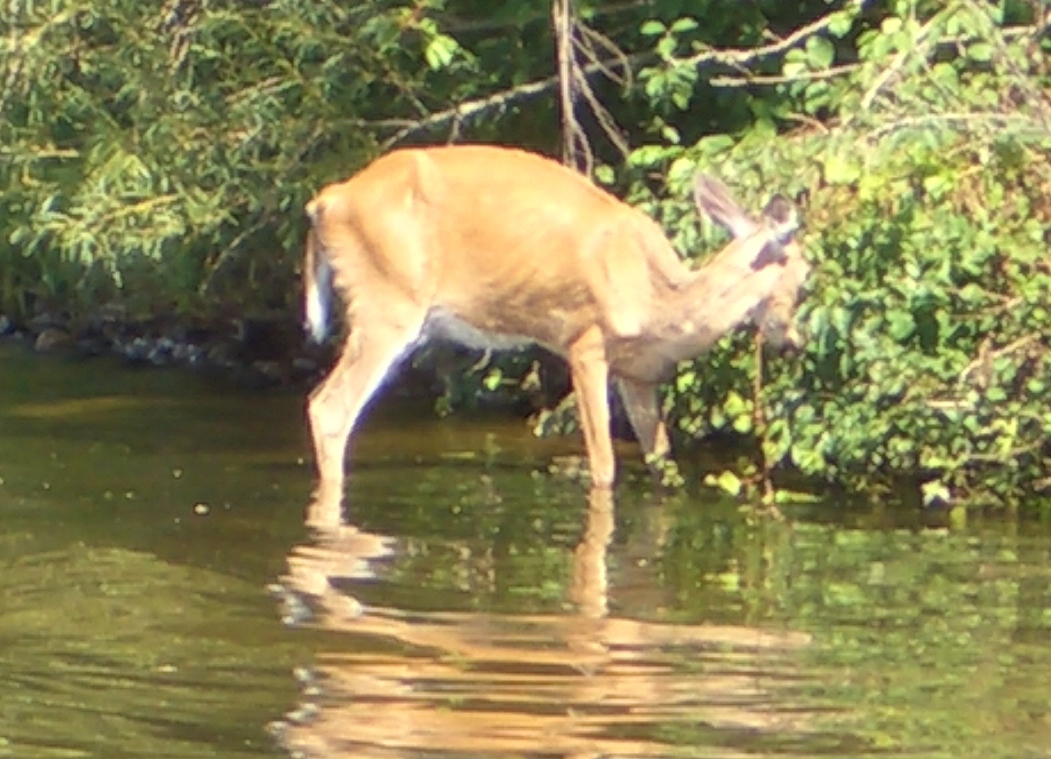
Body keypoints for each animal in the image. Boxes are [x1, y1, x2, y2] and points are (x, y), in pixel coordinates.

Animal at [302, 144, 809, 504]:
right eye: (805, 274)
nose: (794, 341)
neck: (657, 304)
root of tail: (325, 201)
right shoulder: (584, 342)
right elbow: (604, 464)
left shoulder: (638, 373)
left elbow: (662, 461)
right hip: (387, 302)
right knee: (330, 408)